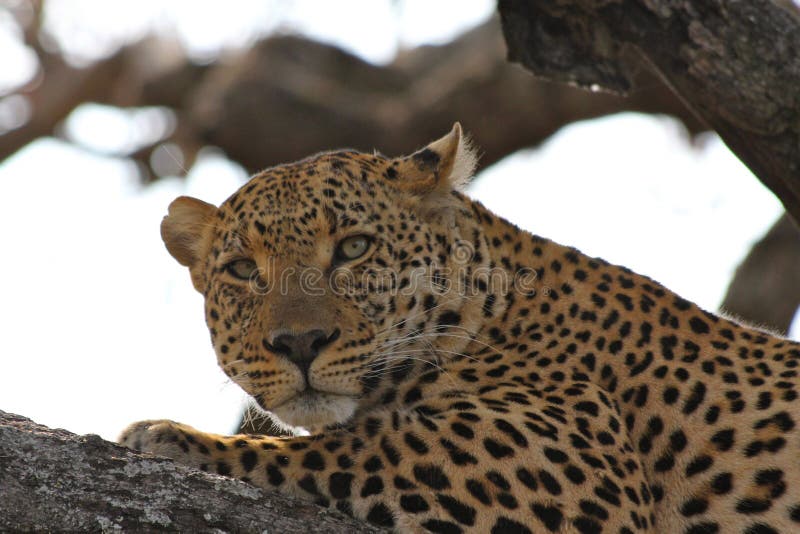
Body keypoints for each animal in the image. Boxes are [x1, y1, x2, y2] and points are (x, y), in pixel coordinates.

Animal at [120, 124, 800, 533]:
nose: (299, 344)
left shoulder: (565, 454)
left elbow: (352, 446)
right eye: (241, 270)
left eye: (353, 248)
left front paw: (171, 437)